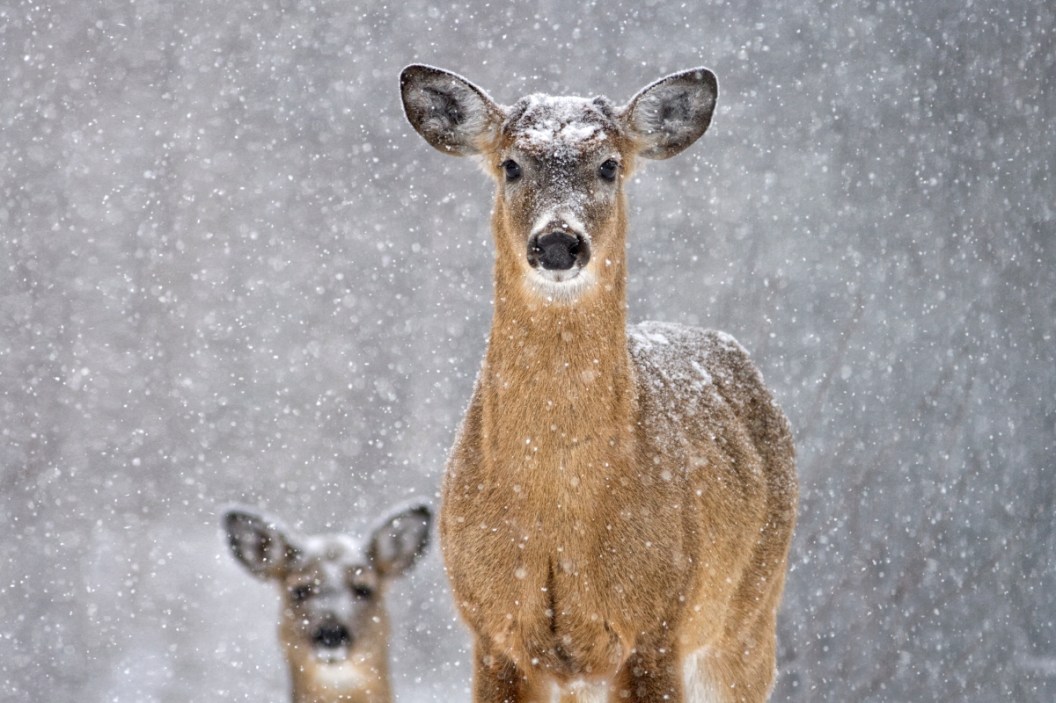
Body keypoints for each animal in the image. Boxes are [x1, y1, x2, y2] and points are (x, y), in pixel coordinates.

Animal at [399, 64, 798, 703]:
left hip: (749, 618)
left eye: (609, 164)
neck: (557, 514)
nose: (558, 241)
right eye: (511, 164)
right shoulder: (490, 630)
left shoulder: (658, 623)